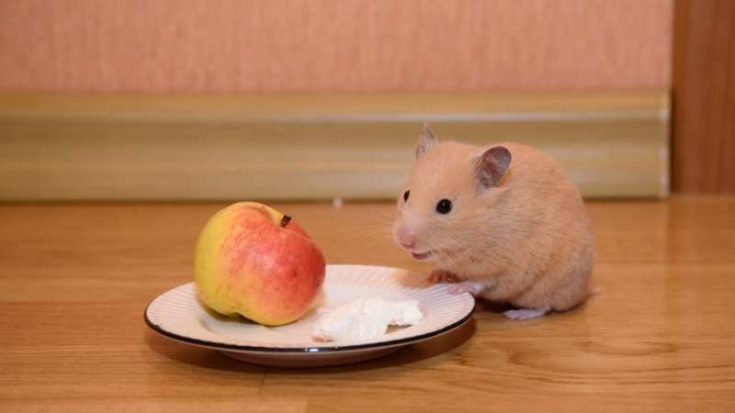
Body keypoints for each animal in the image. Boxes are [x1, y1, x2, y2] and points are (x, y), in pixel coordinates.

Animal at [392, 124, 595, 320]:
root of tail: (584, 291)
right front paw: (434, 276)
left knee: (544, 307)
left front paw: (455, 289)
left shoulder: (506, 266)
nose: (404, 241)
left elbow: (479, 281)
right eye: (406, 195)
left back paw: (516, 314)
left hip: (550, 286)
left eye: (445, 206)